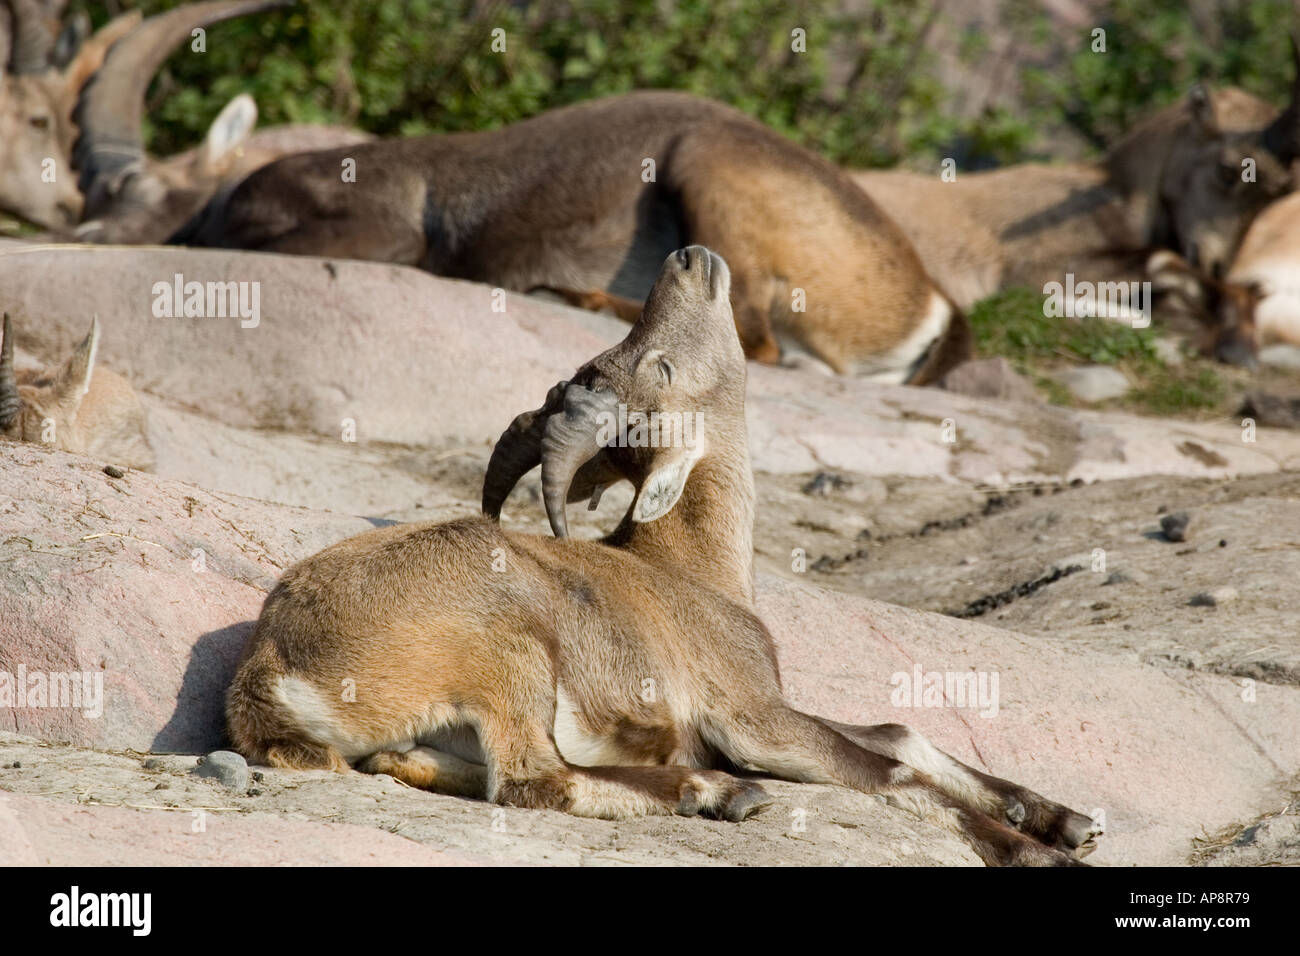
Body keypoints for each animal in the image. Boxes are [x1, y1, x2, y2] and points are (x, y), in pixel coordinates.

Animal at [226, 246, 1100, 866]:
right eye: (663, 365)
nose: (687, 257)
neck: (698, 572)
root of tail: (270, 668)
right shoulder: (752, 716)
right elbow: (888, 769)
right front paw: (1031, 850)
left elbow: (897, 732)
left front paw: (1065, 819)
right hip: (510, 649)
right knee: (534, 781)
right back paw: (718, 792)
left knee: (429, 766)